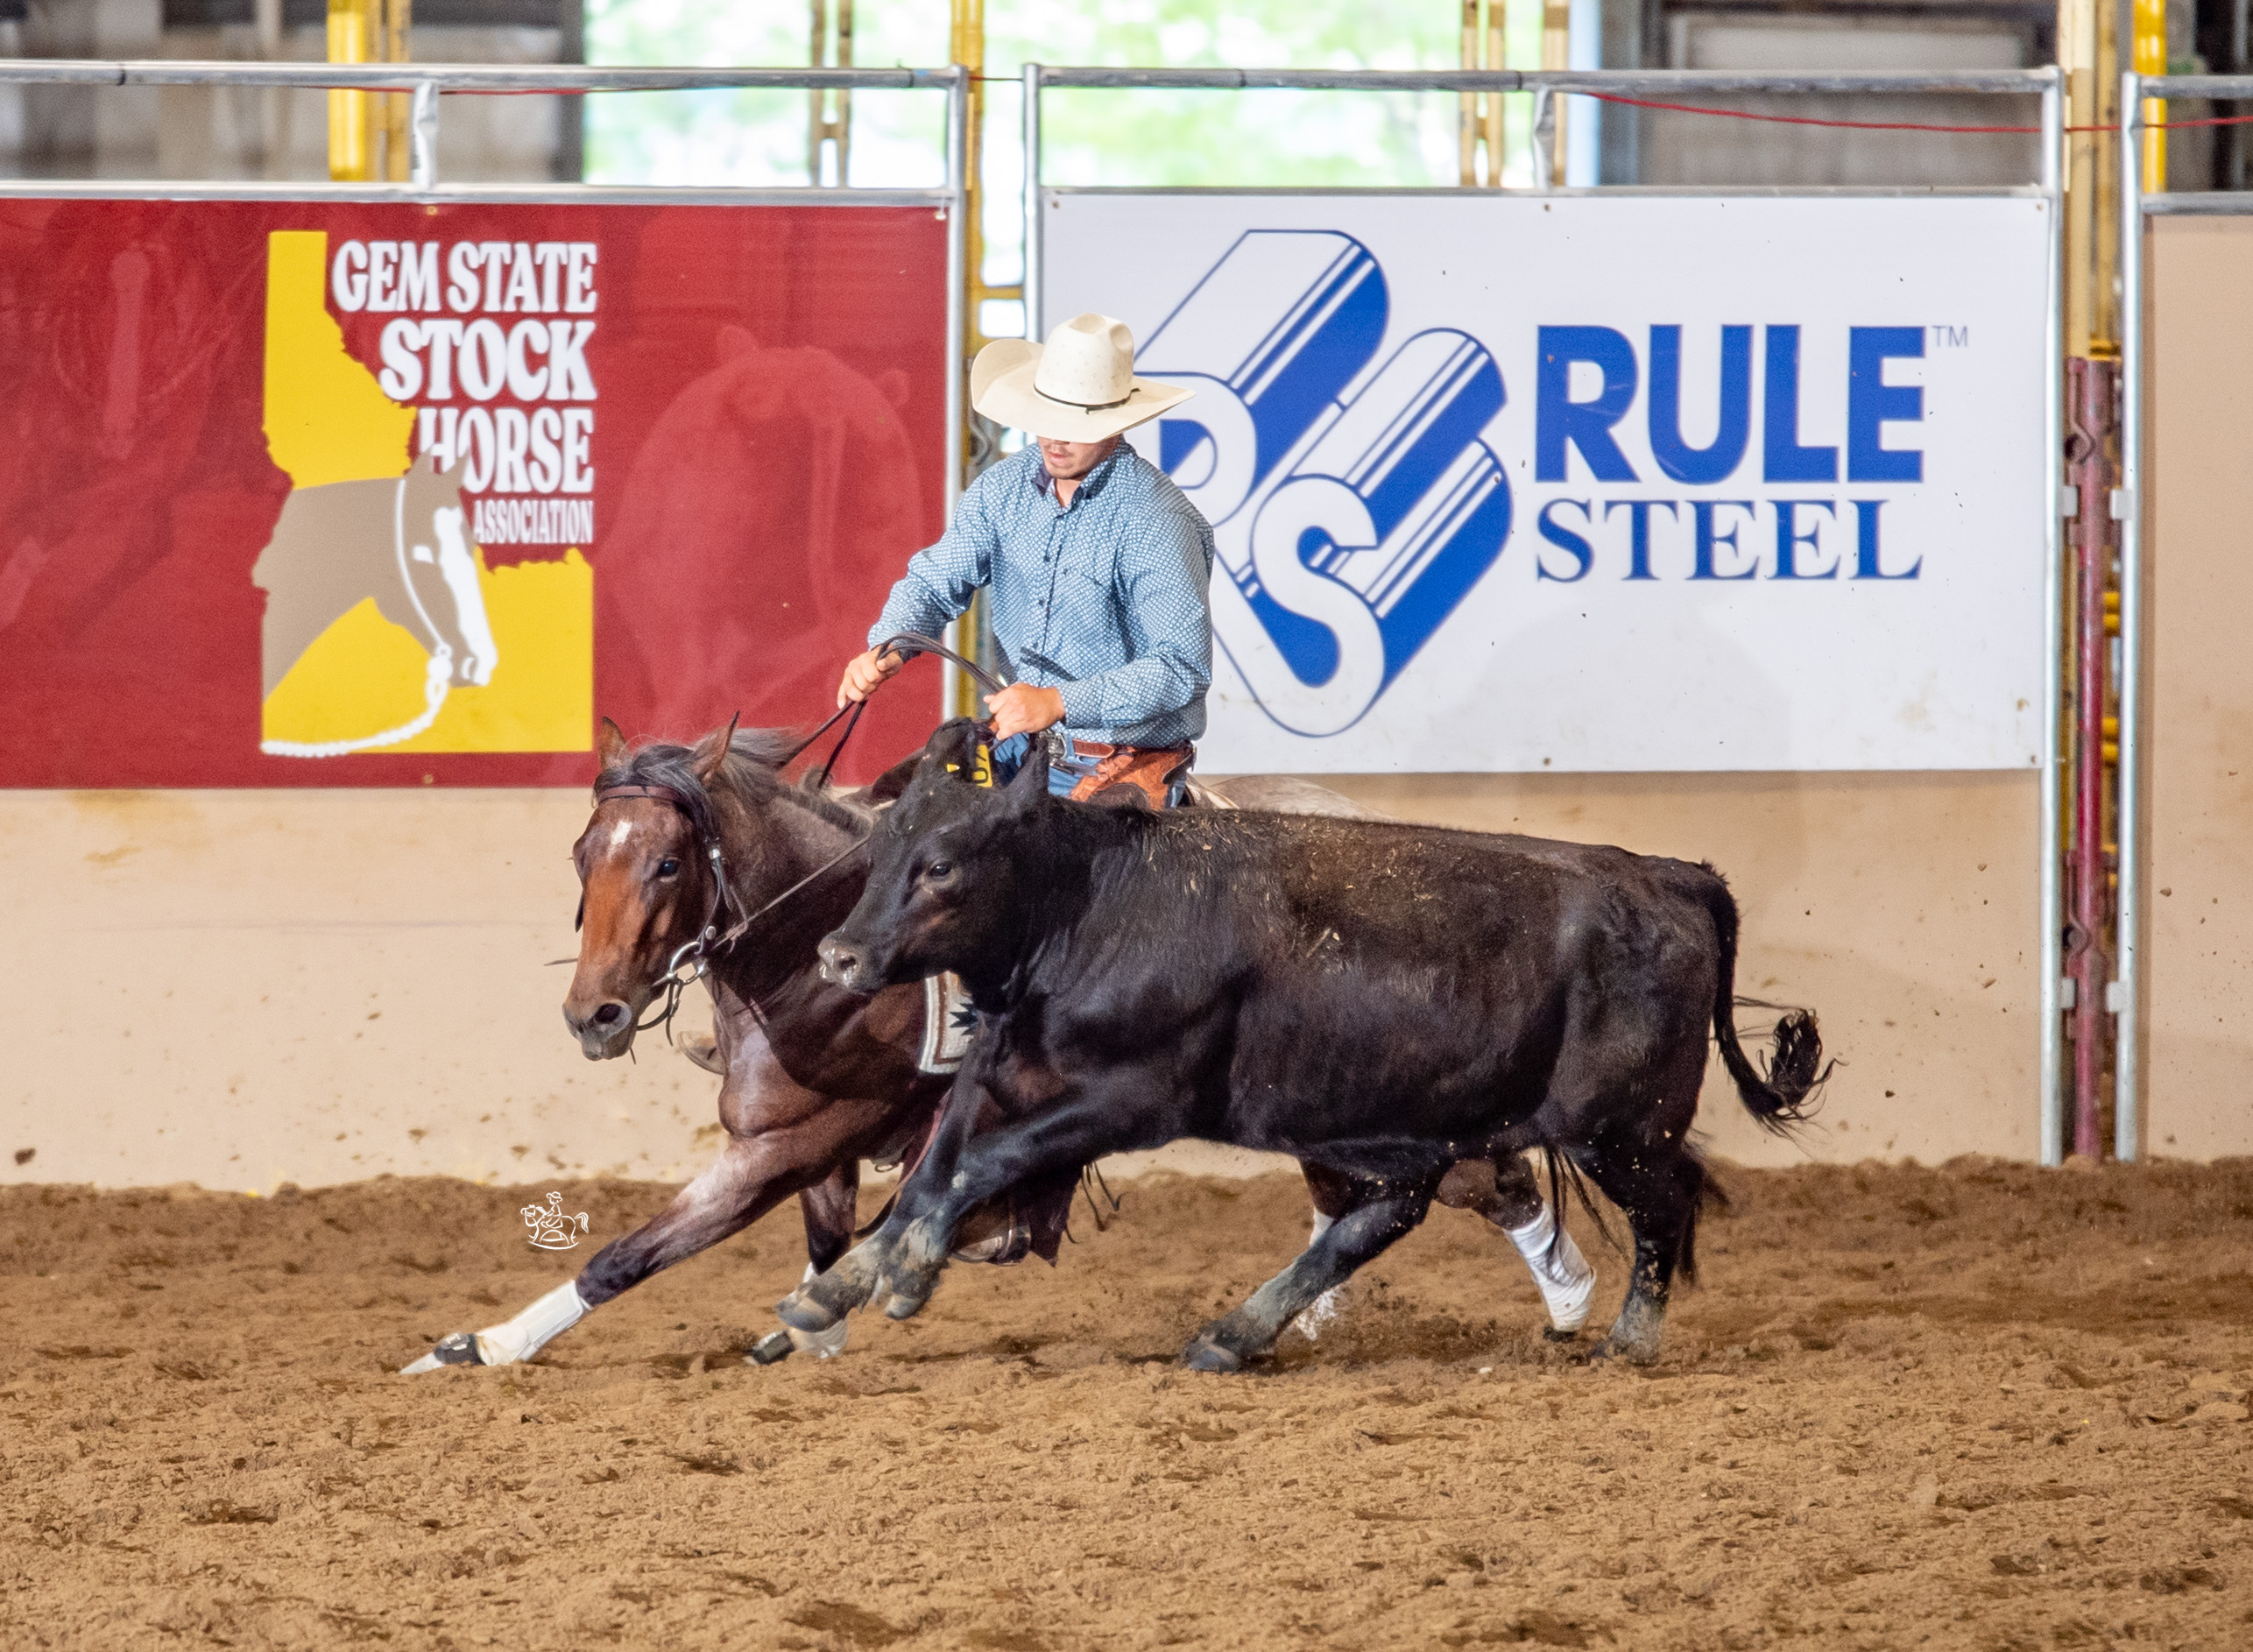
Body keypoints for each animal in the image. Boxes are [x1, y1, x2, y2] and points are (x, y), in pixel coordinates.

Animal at [400, 716, 1596, 1375]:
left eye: (664, 863)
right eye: (581, 853)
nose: (593, 1015)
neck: (813, 949)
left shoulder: (785, 1146)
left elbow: (631, 1252)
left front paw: (480, 1345)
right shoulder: (820, 1147)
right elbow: (833, 1242)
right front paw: (818, 1325)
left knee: (1488, 1180)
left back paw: (1572, 1306)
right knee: (1368, 1191)